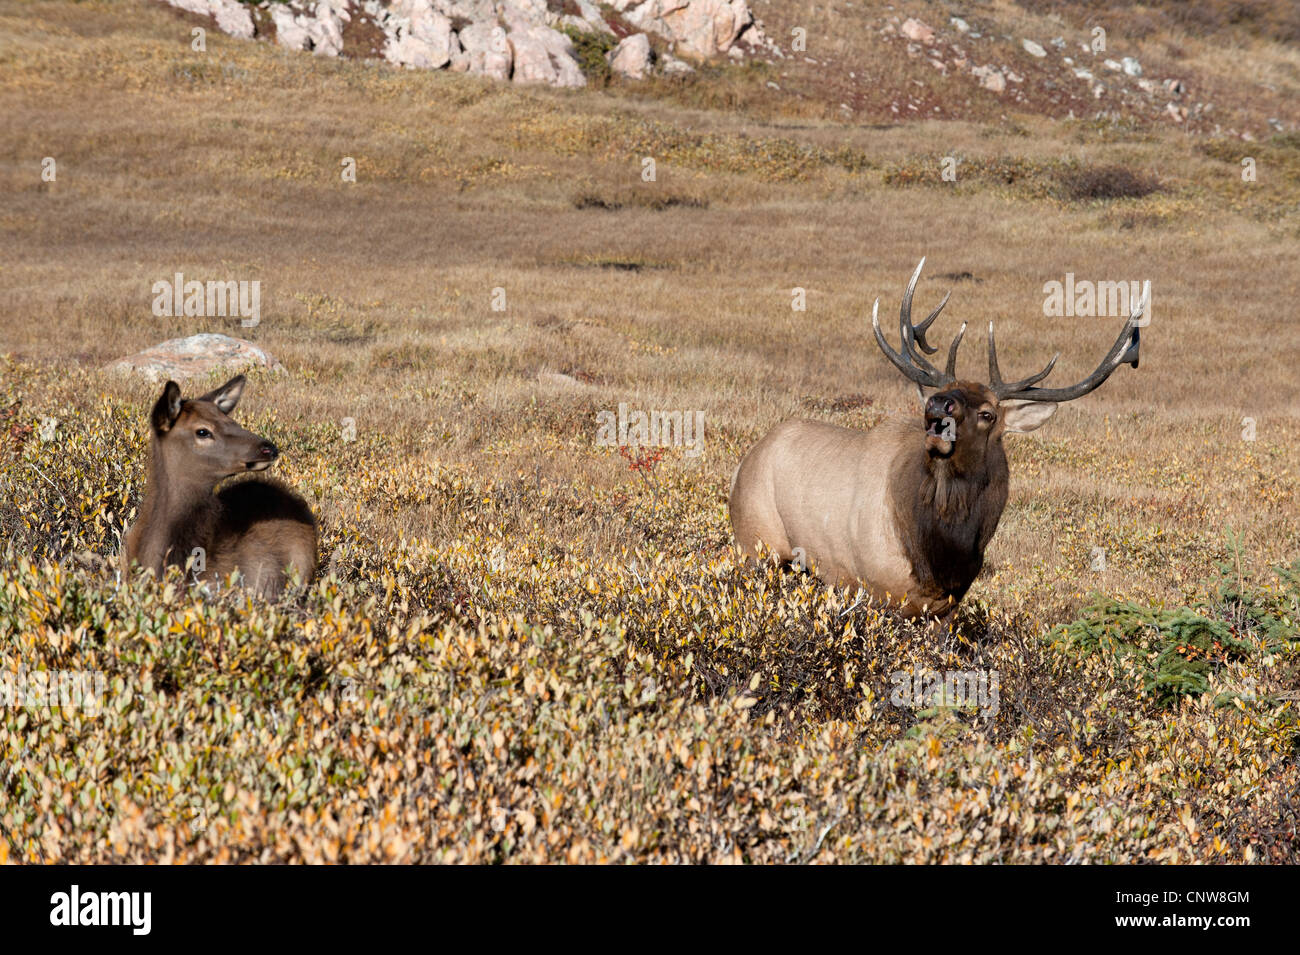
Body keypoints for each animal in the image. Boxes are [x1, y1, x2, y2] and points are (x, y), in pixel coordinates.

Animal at [729, 259, 1146, 626]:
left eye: (988, 414)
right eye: (940, 393)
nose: (937, 407)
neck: (944, 555)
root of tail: (745, 461)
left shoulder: (946, 608)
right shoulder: (874, 590)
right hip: (757, 548)